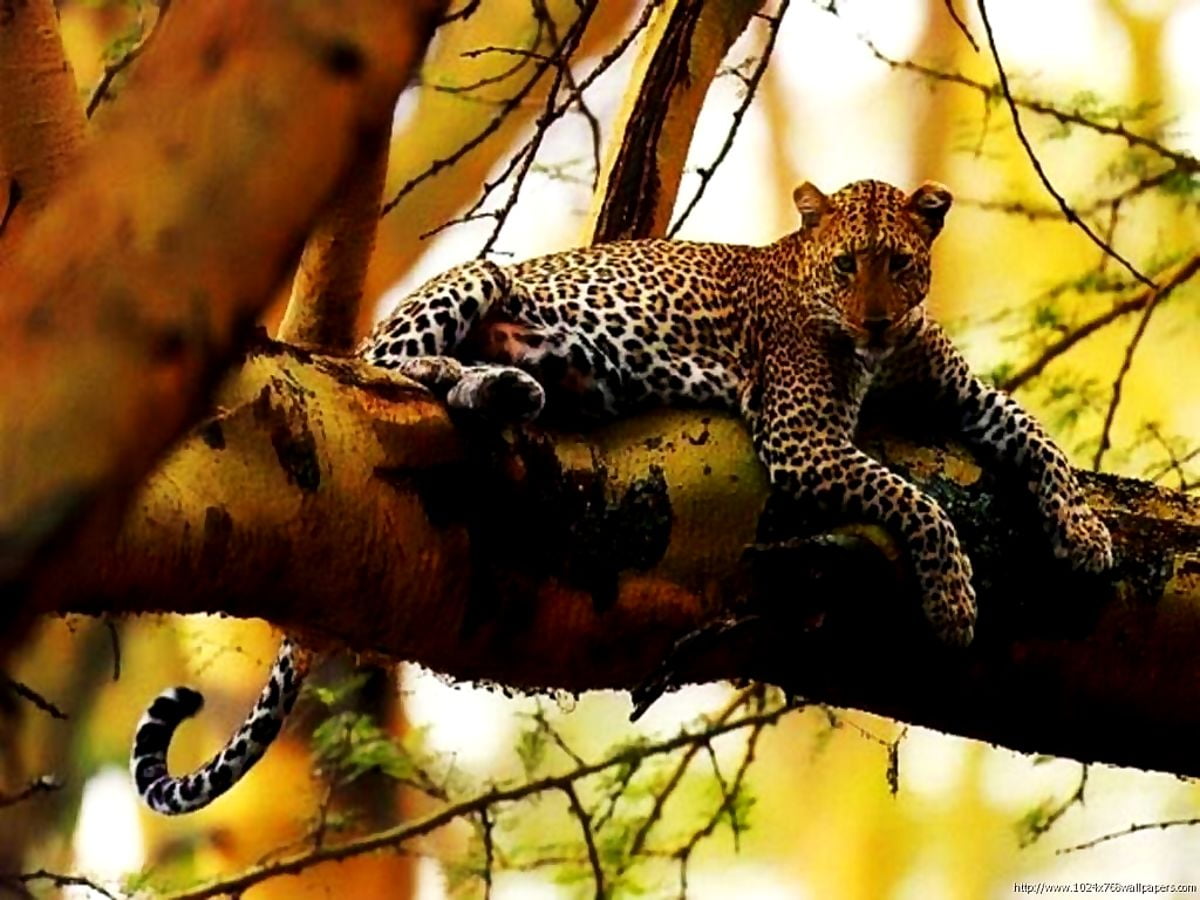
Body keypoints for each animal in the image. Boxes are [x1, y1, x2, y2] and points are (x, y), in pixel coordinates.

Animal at [130, 178, 1113, 814]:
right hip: (475, 279)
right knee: (391, 370)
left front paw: (1086, 531)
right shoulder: (803, 441)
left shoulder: (958, 393)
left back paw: (523, 383)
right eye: (845, 268)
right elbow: (918, 499)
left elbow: (1037, 437)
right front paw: (953, 600)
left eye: (900, 265)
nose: (874, 320)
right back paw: (496, 384)